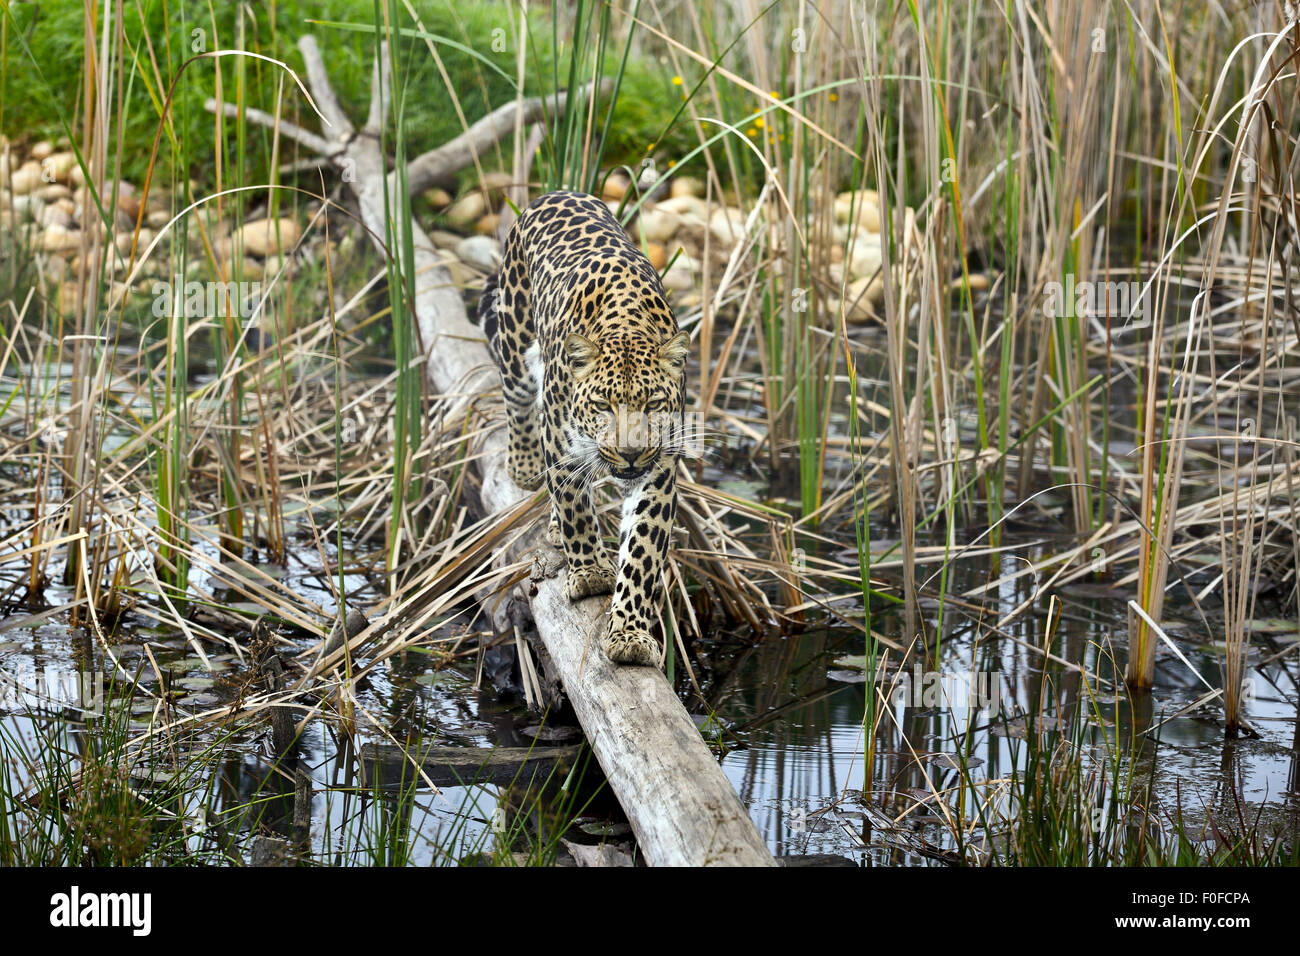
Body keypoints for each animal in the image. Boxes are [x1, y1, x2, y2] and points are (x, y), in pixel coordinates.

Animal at [478, 190, 690, 667]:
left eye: (653, 404)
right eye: (602, 405)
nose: (629, 454)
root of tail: (556, 192)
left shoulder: (660, 468)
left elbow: (643, 550)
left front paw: (630, 634)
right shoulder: (561, 443)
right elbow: (576, 506)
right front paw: (591, 571)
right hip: (516, 341)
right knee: (518, 401)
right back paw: (523, 467)